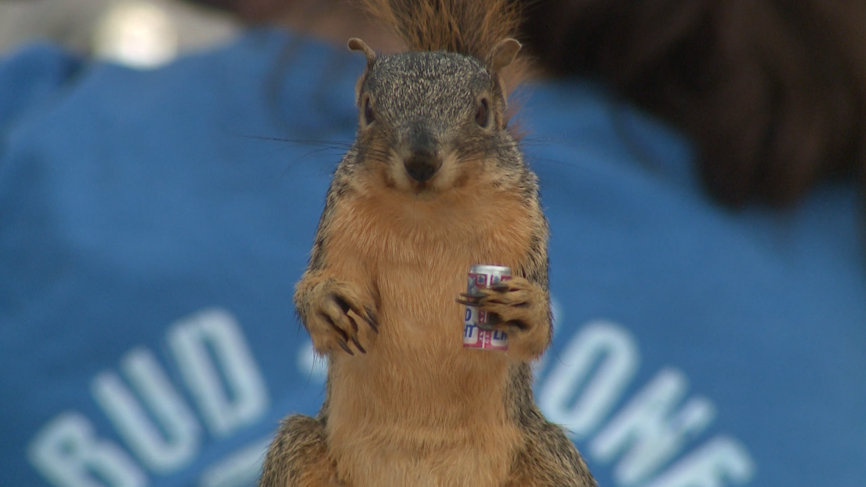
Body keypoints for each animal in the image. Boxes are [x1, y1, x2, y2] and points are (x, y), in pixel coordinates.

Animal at [259, 1, 596, 486]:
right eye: (367, 110)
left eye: (483, 112)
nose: (421, 161)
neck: (430, 217)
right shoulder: (338, 227)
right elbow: (320, 296)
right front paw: (327, 303)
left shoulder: (526, 234)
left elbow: (537, 335)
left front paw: (523, 306)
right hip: (297, 449)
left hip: (550, 460)